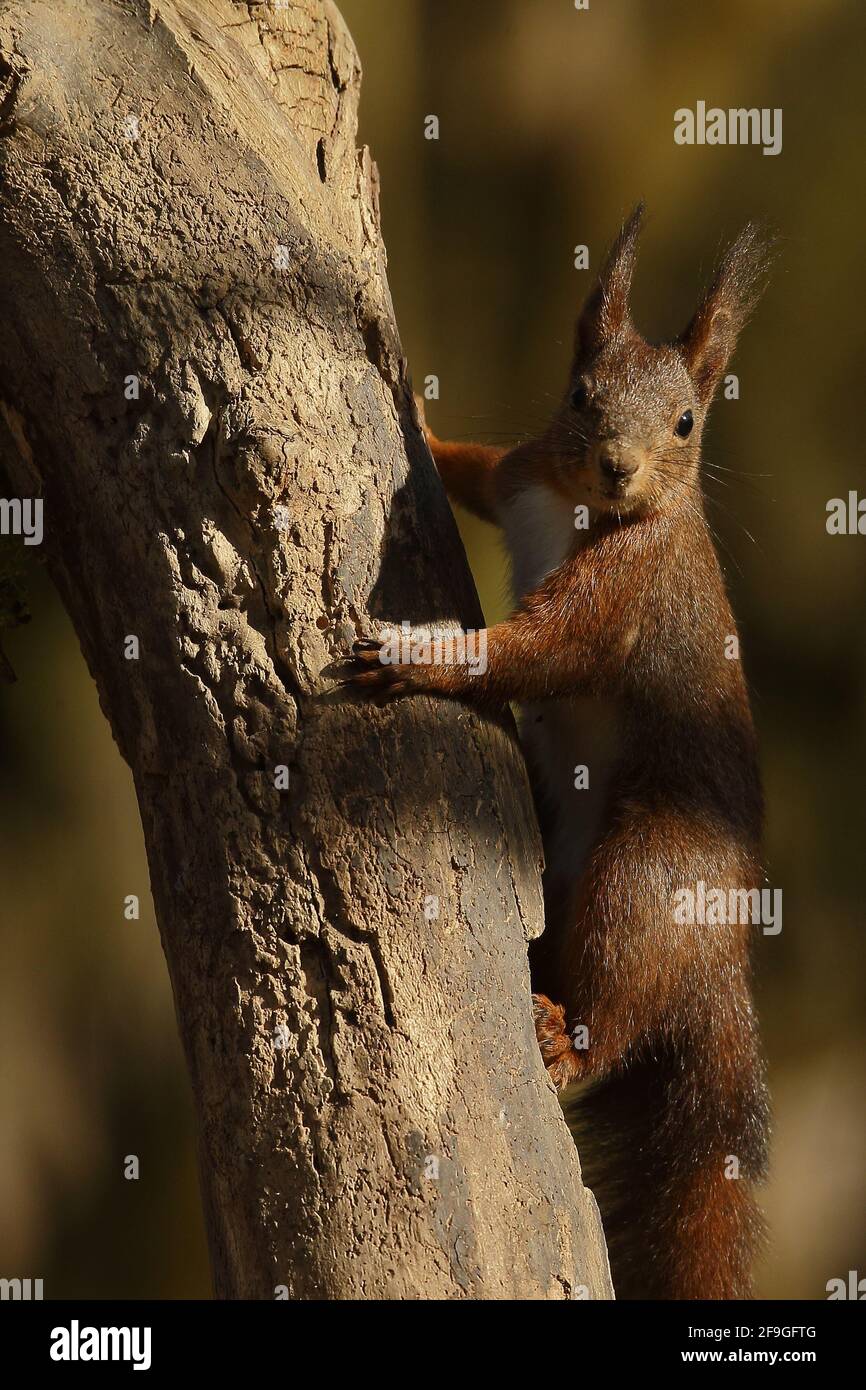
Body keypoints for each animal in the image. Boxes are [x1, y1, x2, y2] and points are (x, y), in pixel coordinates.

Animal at [349, 204, 772, 1300]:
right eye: (580, 395)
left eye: (686, 424)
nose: (618, 465)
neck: (595, 511)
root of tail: (719, 973)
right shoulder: (520, 473)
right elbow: (471, 466)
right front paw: (414, 399)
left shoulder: (613, 601)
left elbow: (522, 654)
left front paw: (413, 655)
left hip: (647, 871)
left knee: (620, 1008)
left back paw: (567, 1039)